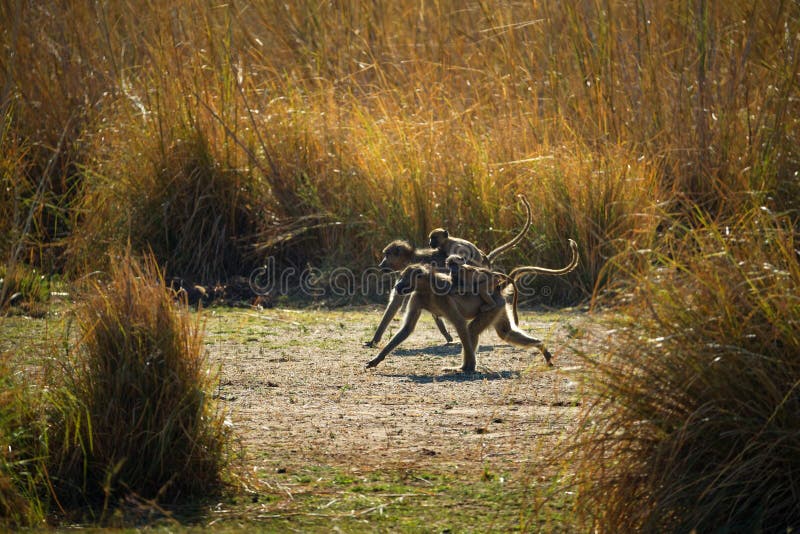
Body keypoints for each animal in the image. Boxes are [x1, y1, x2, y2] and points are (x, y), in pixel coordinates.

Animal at [365, 263, 552, 373]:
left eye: (404, 277)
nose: (397, 285)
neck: (427, 287)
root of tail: (497, 288)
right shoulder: (416, 297)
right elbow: (407, 329)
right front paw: (377, 359)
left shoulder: (442, 298)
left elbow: (460, 323)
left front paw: (470, 366)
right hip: (499, 307)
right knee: (505, 333)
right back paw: (541, 346)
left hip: (493, 306)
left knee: (471, 330)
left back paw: (465, 367)